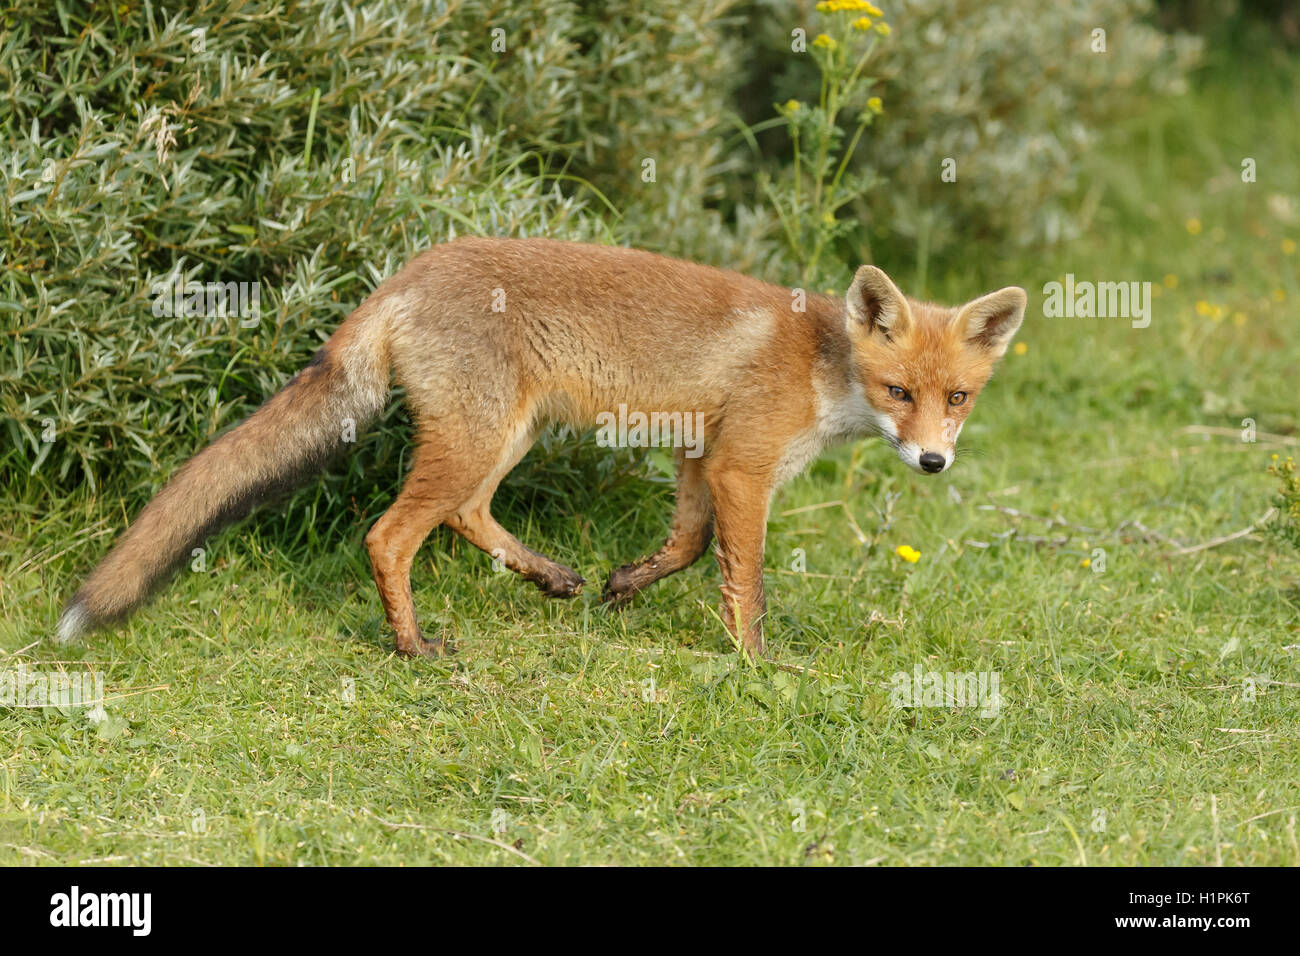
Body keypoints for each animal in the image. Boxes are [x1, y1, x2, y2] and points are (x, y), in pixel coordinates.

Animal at [58, 237, 1026, 658]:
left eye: (958, 399)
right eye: (899, 393)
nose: (934, 462)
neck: (822, 367)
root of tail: (408, 273)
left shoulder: (698, 457)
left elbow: (687, 546)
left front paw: (624, 586)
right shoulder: (742, 468)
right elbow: (744, 581)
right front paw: (756, 665)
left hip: (503, 436)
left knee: (466, 514)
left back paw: (551, 579)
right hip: (476, 437)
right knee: (391, 536)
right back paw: (413, 648)